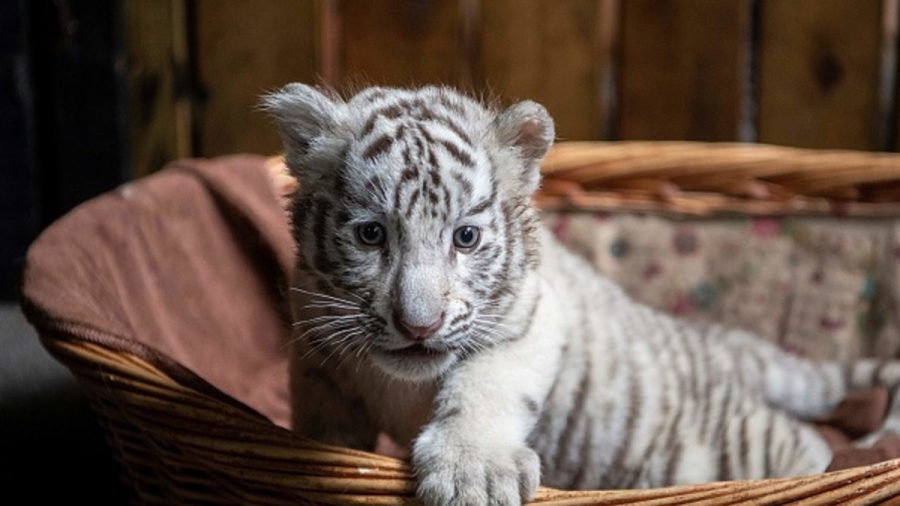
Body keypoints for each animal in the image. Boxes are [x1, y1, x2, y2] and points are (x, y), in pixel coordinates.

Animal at [262, 83, 900, 506]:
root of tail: (727, 349)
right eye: (371, 234)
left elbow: (485, 386)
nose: (420, 325)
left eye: (465, 238)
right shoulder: (315, 352)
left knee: (813, 450)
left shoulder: (530, 322)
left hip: (735, 441)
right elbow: (324, 426)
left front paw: (473, 473)